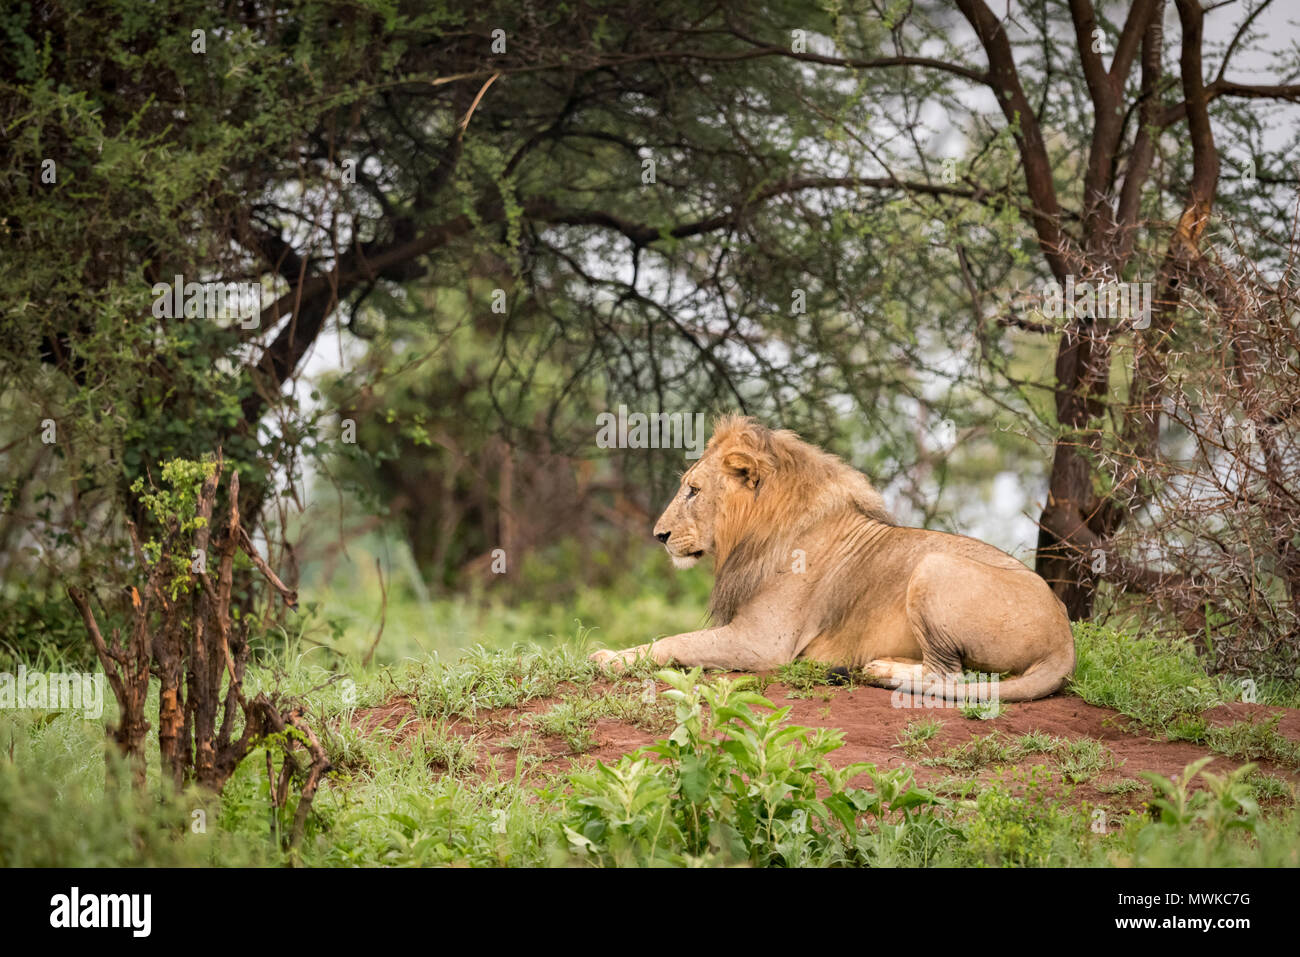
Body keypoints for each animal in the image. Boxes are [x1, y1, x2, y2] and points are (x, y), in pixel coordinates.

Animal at [590, 415, 1075, 702]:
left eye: (693, 490)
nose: (659, 535)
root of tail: (1065, 639)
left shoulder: (764, 642)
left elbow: (675, 642)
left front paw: (610, 657)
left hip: (933, 566)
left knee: (950, 677)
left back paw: (879, 671)